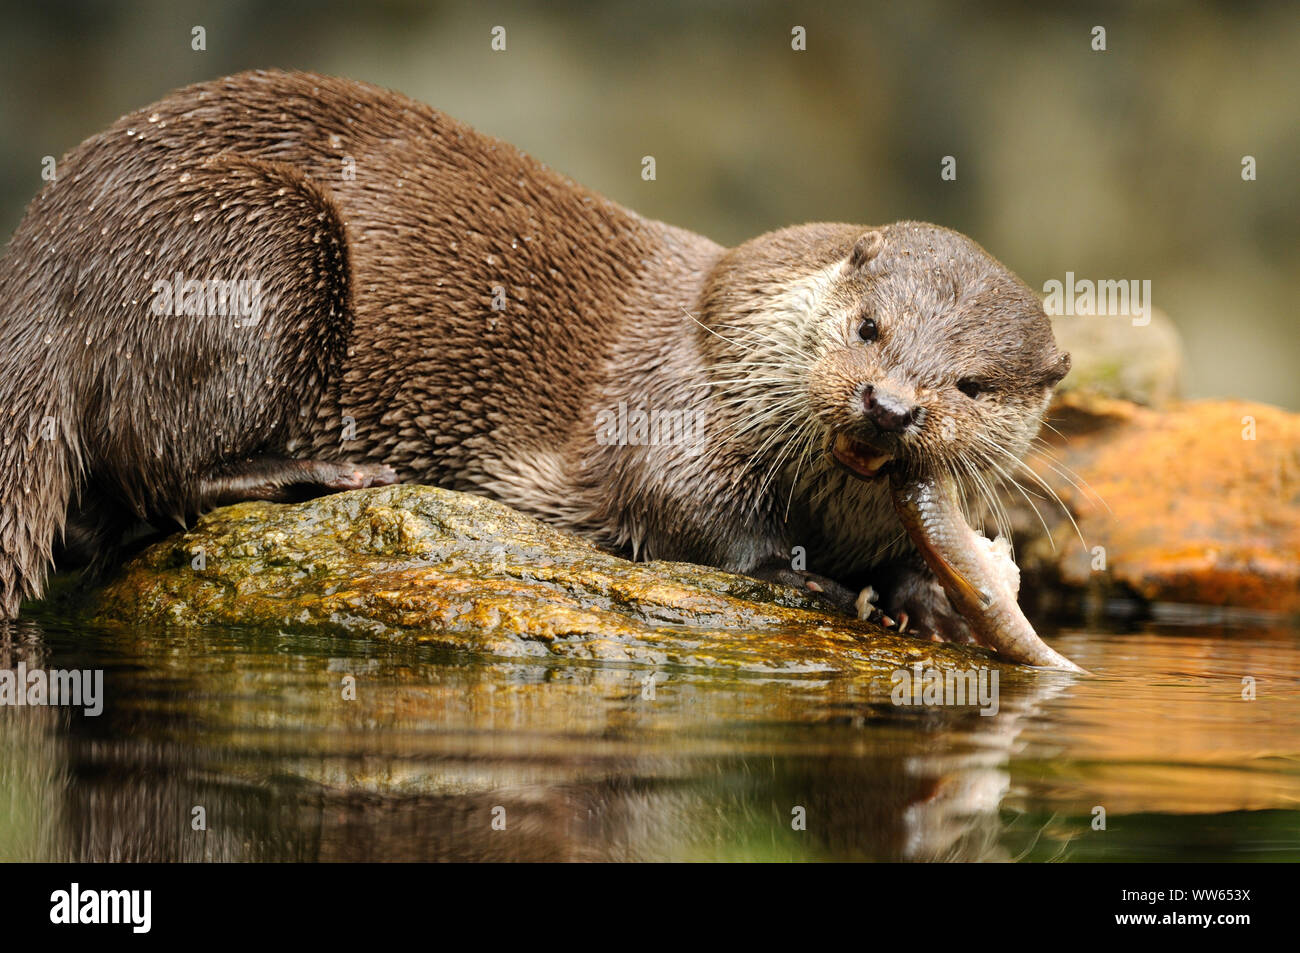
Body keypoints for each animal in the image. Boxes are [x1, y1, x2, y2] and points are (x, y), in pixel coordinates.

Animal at [0, 70, 1070, 643]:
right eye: (870, 328)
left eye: (972, 384)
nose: (890, 405)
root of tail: (50, 243)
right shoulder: (671, 397)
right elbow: (676, 506)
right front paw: (807, 578)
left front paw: (931, 602)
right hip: (258, 236)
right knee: (155, 464)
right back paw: (321, 470)